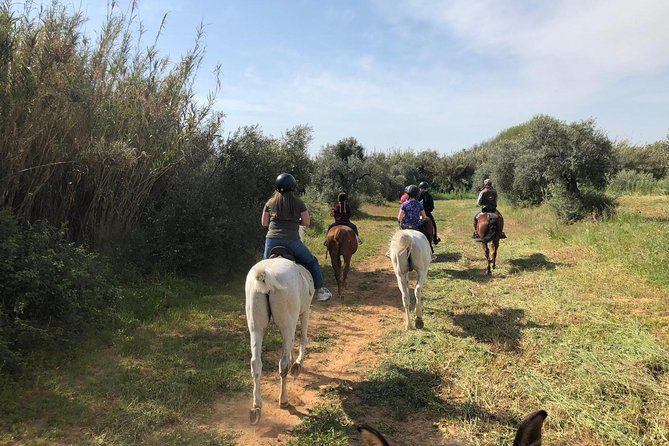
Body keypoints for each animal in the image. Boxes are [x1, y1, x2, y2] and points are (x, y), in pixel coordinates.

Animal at [245, 251, 314, 424]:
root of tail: (264, 275)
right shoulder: (305, 311)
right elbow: (303, 338)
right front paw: (297, 365)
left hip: (256, 327)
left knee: (255, 363)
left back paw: (257, 407)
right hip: (287, 323)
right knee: (282, 364)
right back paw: (283, 400)